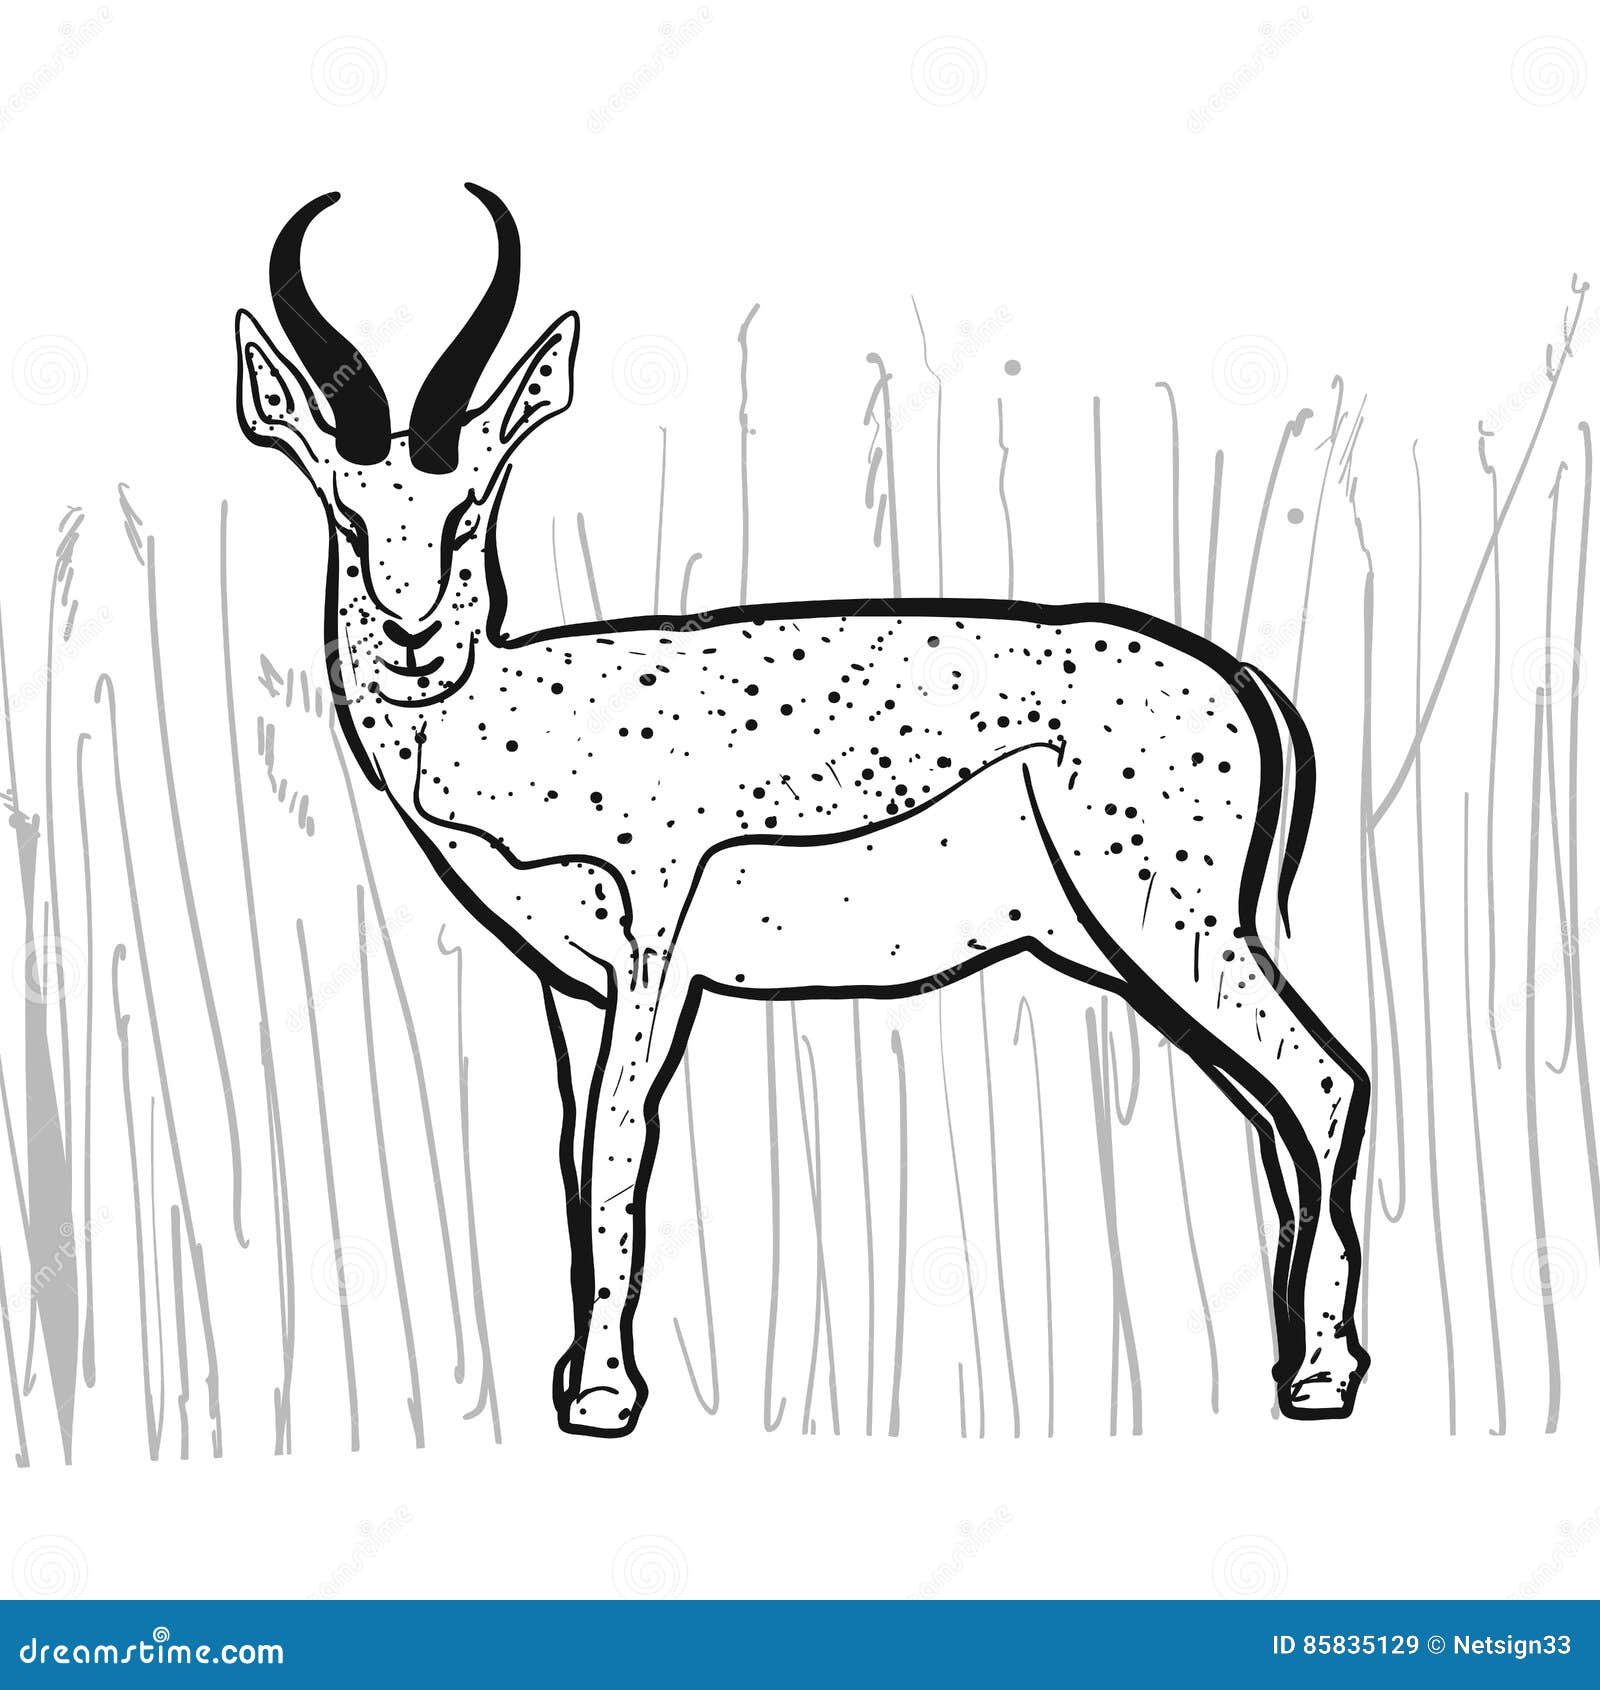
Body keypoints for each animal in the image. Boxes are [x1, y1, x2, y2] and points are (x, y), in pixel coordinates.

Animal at [235, 184, 1371, 1436]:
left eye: (466, 510)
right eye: (347, 519)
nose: (413, 639)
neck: (519, 716)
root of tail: (1244, 681)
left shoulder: (654, 941)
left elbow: (620, 1147)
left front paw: (602, 1395)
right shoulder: (568, 984)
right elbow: (576, 1157)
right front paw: (579, 1375)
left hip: (1169, 920)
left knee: (1326, 1082)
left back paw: (1319, 1379)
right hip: (1135, 947)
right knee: (1278, 1104)